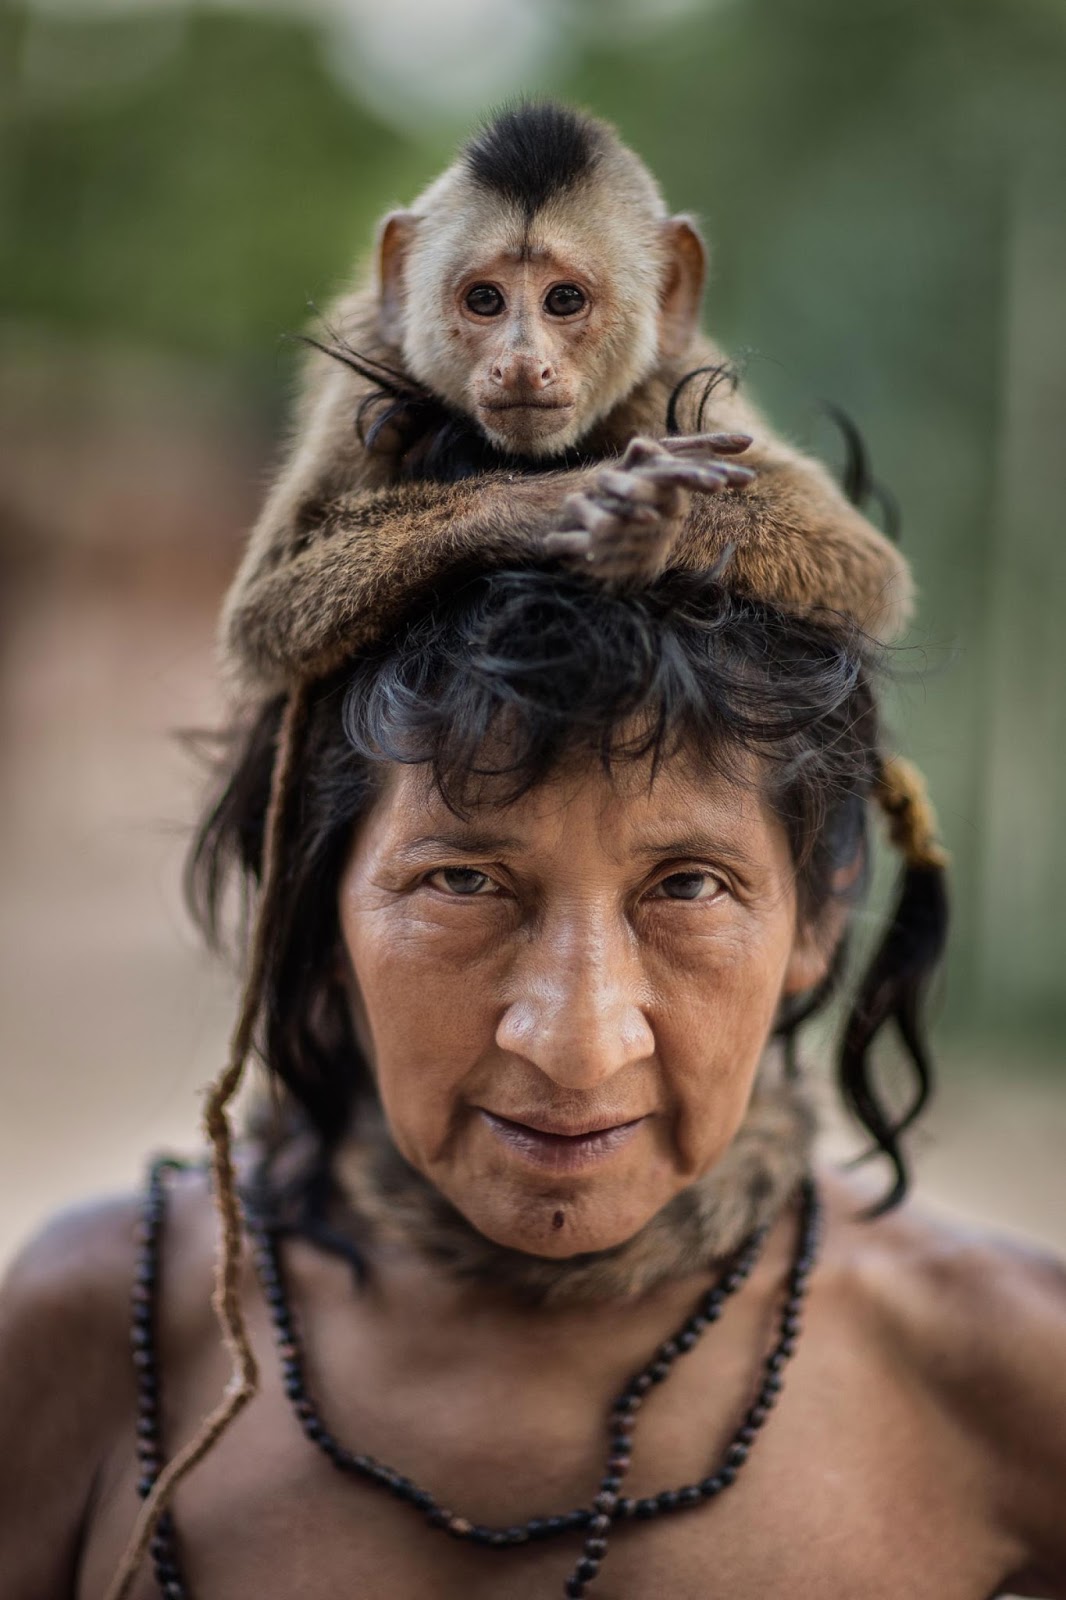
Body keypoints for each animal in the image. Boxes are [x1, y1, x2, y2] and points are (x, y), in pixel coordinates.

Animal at [222, 100, 912, 694]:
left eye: (564, 300)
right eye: (485, 300)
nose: (523, 367)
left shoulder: (671, 372)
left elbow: (860, 557)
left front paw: (653, 520)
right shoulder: (373, 355)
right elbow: (264, 611)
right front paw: (549, 505)